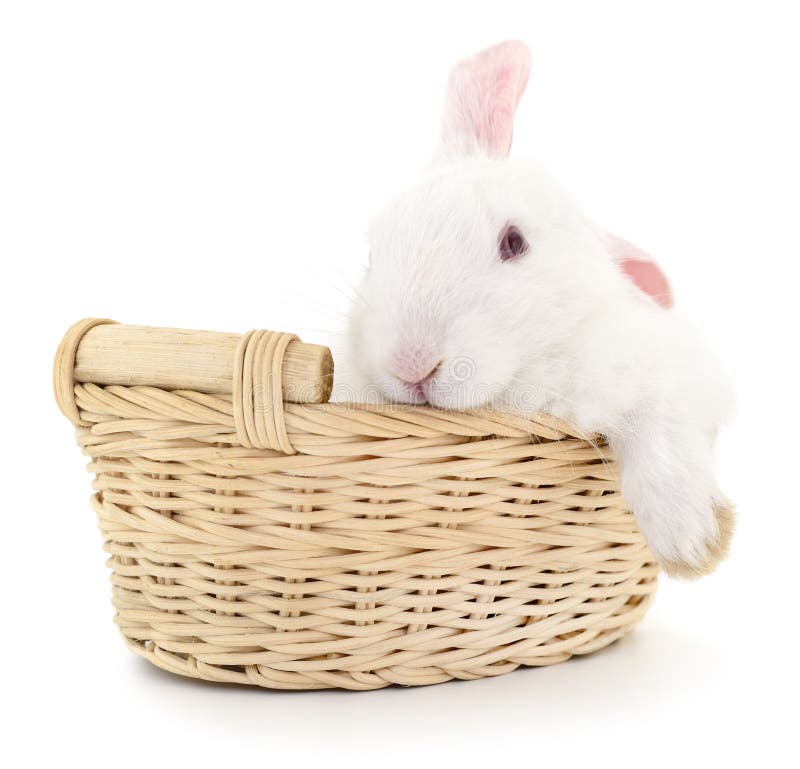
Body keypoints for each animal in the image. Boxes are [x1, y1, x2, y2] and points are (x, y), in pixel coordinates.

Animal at [337, 40, 735, 578]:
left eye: (515, 242)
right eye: (373, 254)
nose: (411, 363)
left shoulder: (666, 372)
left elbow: (657, 421)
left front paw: (692, 544)